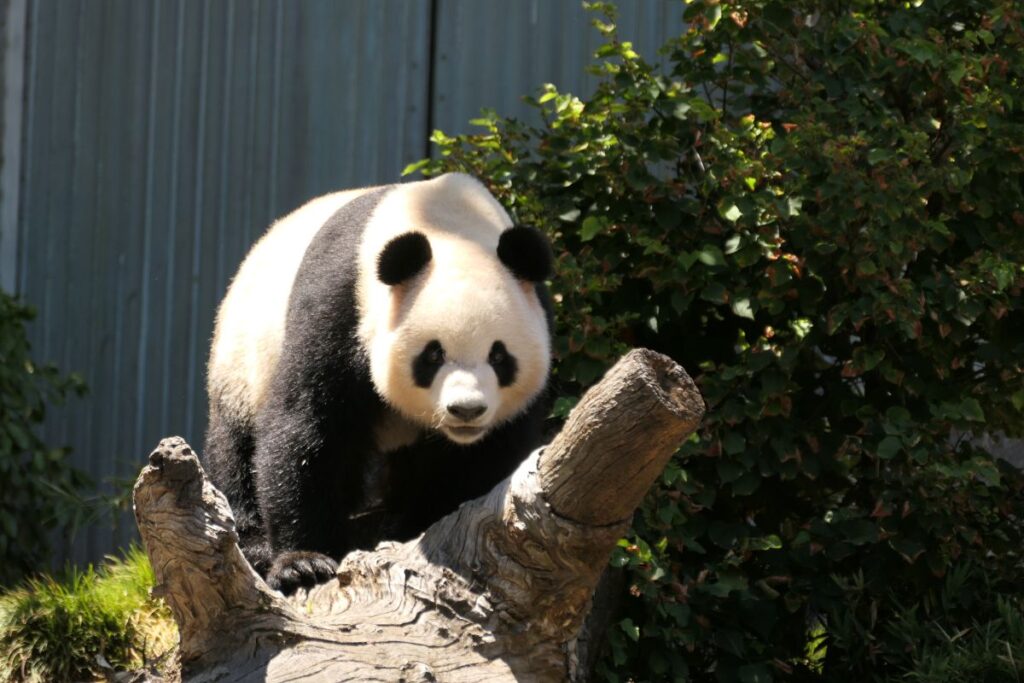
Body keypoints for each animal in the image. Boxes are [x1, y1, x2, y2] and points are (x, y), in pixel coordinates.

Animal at [204, 173, 554, 594]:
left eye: (499, 356)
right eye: (433, 355)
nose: (466, 410)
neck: (449, 227)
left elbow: (491, 456)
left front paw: (431, 519)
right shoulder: (340, 305)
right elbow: (304, 428)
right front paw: (303, 562)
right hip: (241, 358)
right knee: (236, 449)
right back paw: (255, 541)